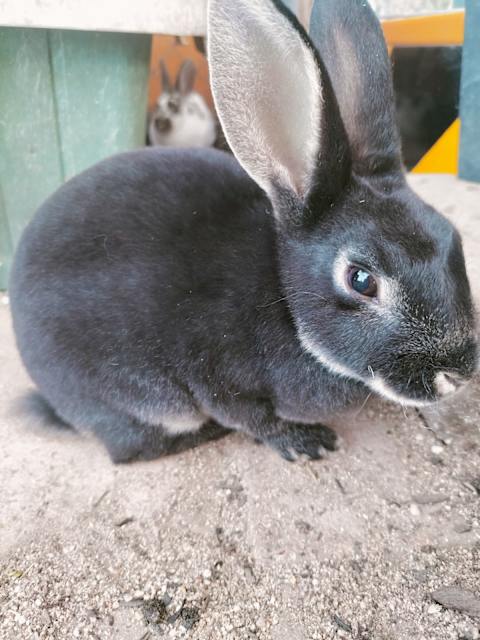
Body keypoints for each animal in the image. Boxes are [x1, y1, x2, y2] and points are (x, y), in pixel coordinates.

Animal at [9, 0, 477, 464]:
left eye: (452, 236)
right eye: (361, 279)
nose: (459, 373)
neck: (285, 301)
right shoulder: (217, 378)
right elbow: (252, 417)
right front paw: (306, 441)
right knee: (135, 449)